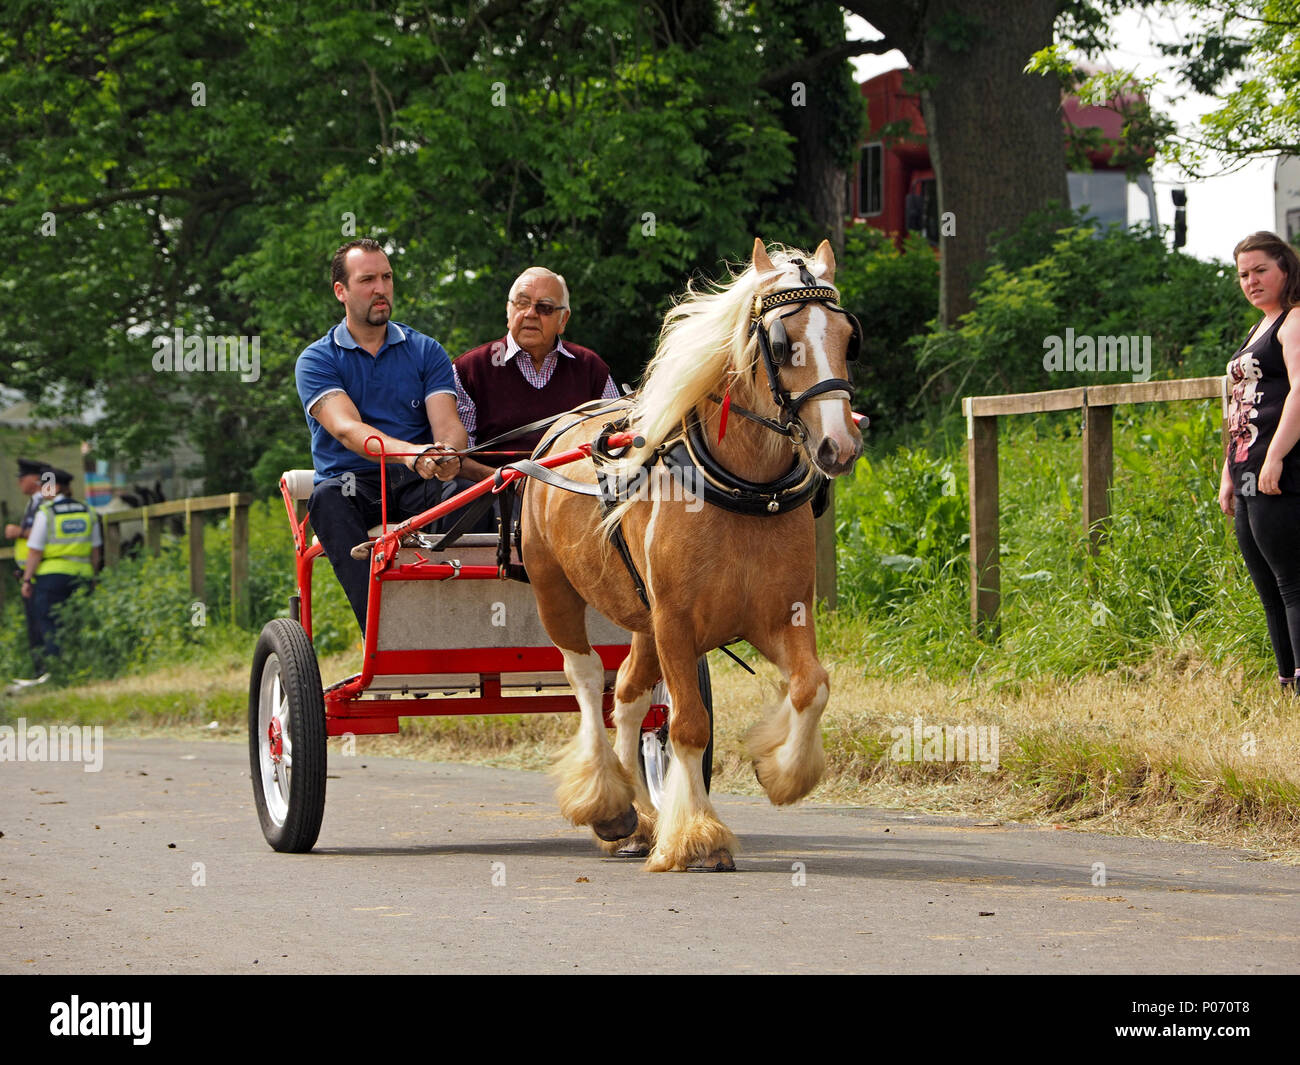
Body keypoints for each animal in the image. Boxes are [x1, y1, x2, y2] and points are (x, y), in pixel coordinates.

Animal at [520, 238, 863, 871]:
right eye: (782, 342)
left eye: (849, 337)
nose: (840, 445)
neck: (742, 488)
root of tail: (557, 431)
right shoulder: (677, 622)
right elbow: (688, 726)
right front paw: (698, 835)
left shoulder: (781, 615)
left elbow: (812, 685)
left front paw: (780, 770)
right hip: (554, 588)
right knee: (587, 677)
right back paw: (608, 801)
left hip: (641, 616)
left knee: (629, 696)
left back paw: (638, 816)